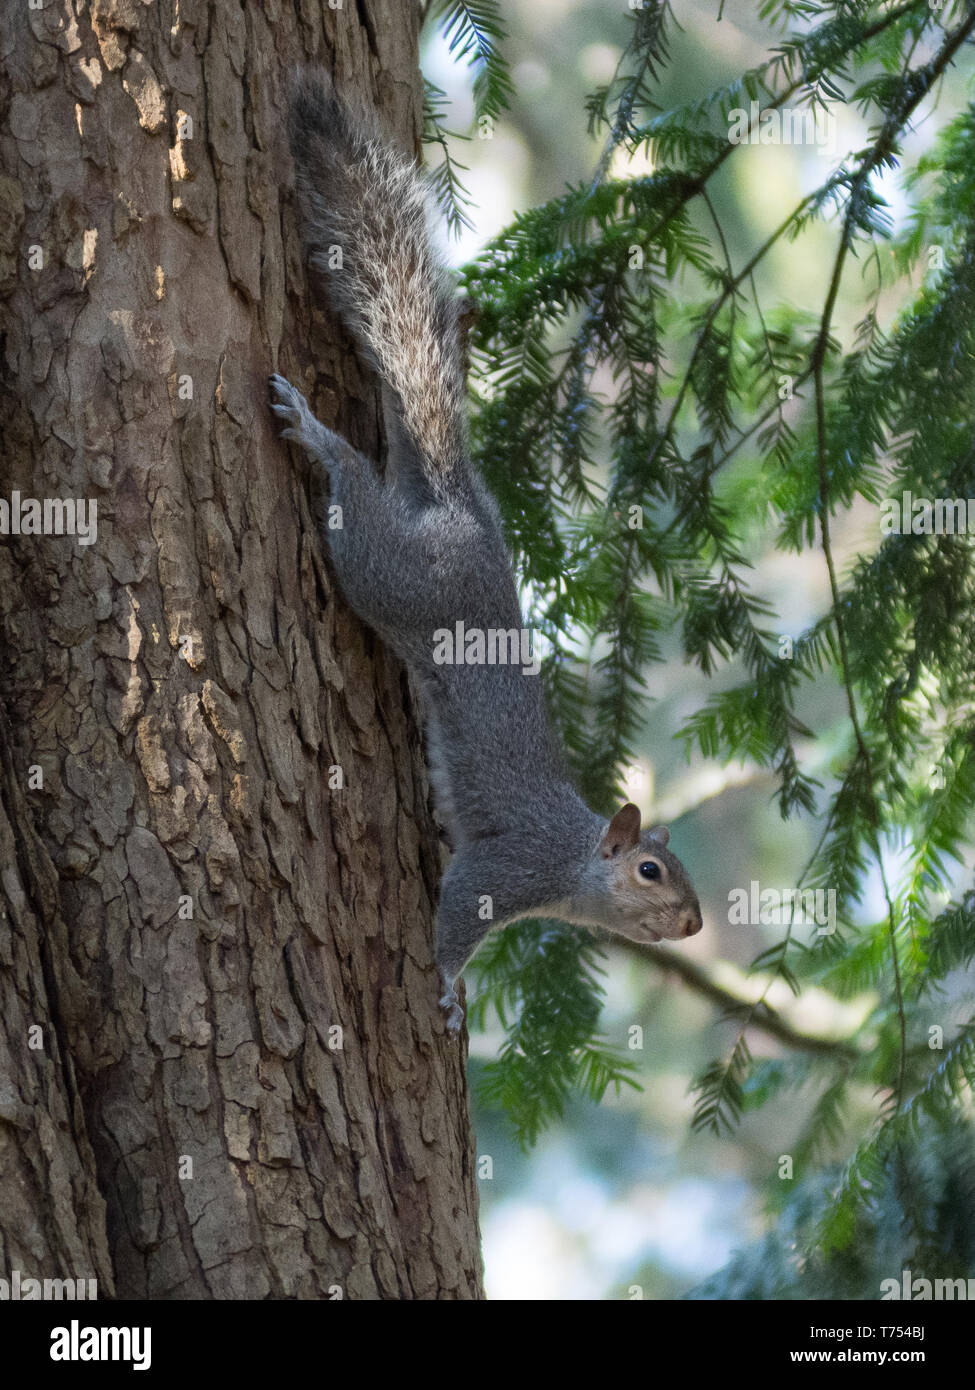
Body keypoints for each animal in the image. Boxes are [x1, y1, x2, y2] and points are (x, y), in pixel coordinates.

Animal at [270, 69, 703, 1034]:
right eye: (650, 870)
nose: (696, 925)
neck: (574, 862)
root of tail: (457, 507)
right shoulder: (504, 871)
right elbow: (454, 918)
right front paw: (446, 991)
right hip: (395, 575)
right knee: (355, 501)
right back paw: (316, 435)